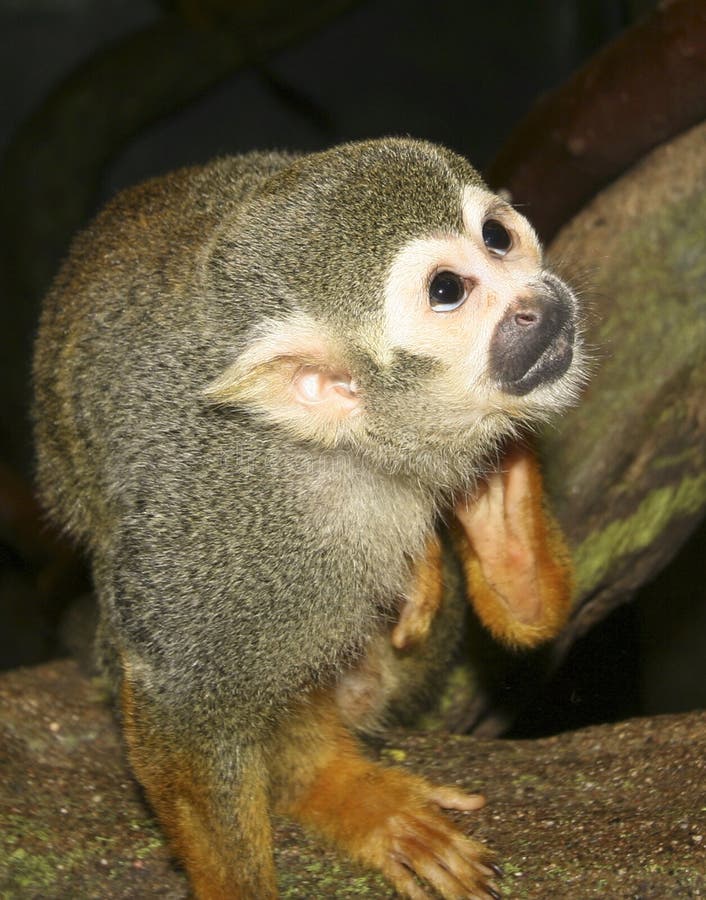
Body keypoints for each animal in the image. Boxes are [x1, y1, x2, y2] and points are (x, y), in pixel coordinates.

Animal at [33, 138, 584, 899]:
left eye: (497, 237)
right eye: (448, 291)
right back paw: (338, 788)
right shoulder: (228, 519)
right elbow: (185, 699)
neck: (350, 442)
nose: (537, 301)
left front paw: (500, 504)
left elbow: (525, 614)